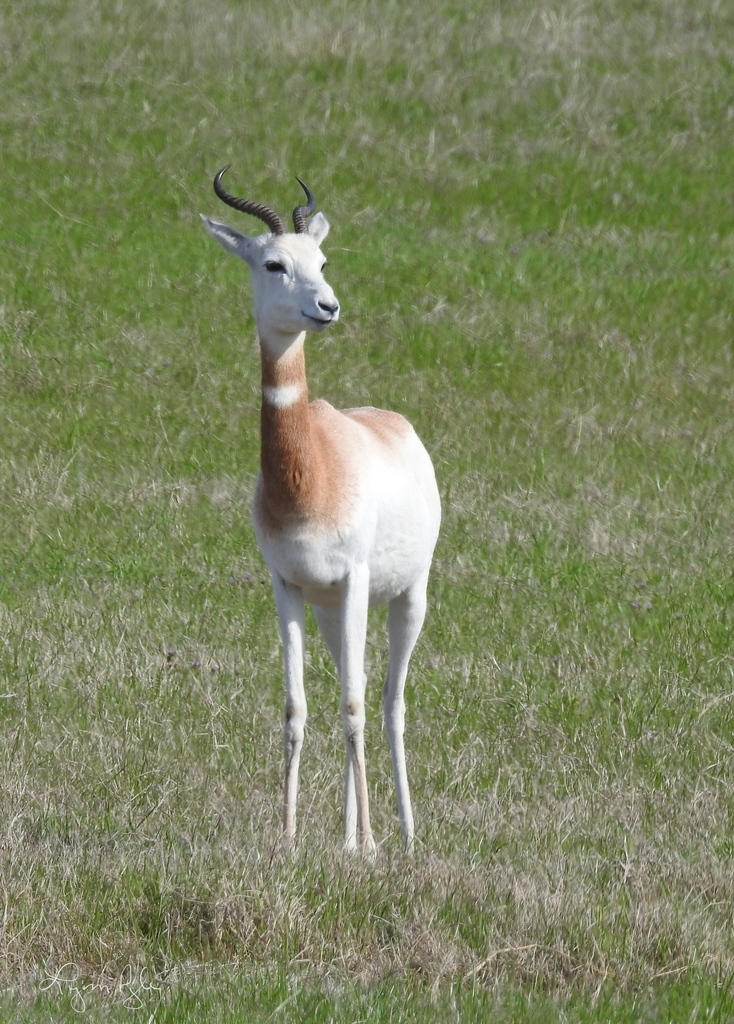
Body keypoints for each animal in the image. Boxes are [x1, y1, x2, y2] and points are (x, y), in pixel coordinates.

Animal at [201, 167, 441, 855]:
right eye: (273, 263)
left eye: (324, 260)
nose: (327, 307)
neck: (312, 479)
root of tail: (395, 423)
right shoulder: (286, 584)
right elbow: (298, 707)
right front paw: (288, 838)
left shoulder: (356, 578)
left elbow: (356, 709)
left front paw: (370, 845)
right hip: (332, 613)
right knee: (346, 691)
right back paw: (346, 834)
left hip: (406, 597)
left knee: (388, 704)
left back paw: (402, 835)